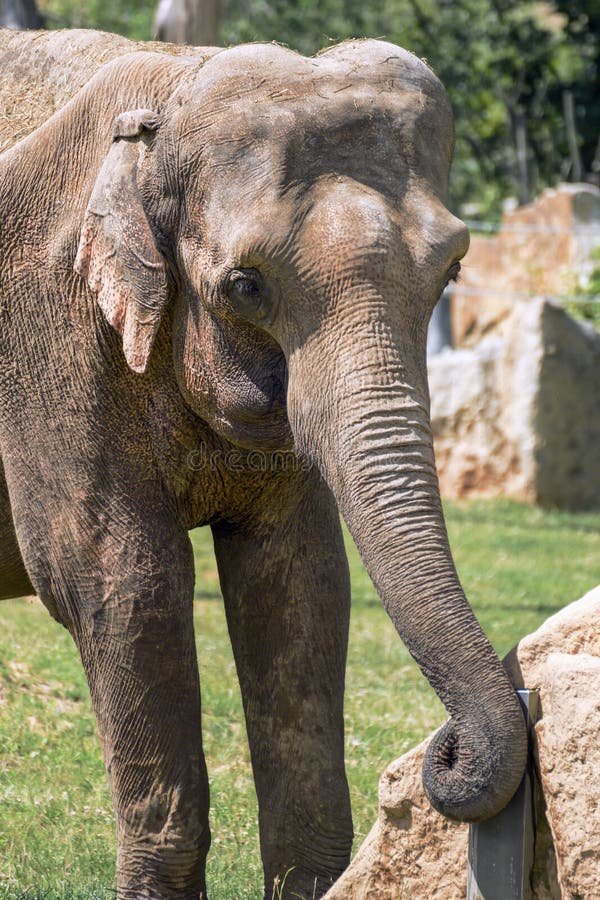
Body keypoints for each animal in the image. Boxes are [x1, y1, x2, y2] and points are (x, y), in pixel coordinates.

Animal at [0, 28, 527, 900]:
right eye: (245, 286)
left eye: (451, 270)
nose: (445, 753)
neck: (168, 89)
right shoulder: (46, 339)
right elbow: (120, 581)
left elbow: (298, 579)